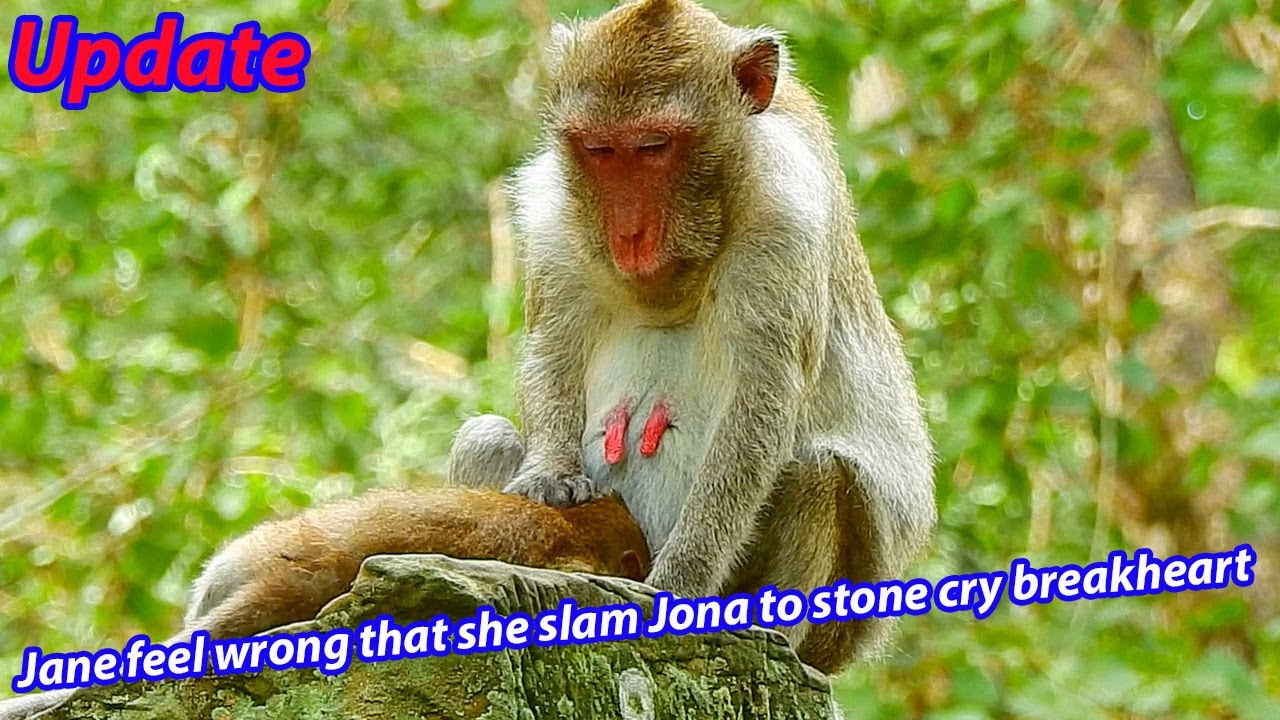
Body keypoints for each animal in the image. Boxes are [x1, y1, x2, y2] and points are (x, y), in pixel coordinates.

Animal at [448, 0, 937, 675]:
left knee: (820, 473)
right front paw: (550, 473)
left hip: (841, 627)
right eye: (600, 150)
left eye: (655, 147)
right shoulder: (554, 212)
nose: (628, 232)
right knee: (486, 436)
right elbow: (552, 349)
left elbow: (761, 398)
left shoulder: (785, 218)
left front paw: (682, 585)